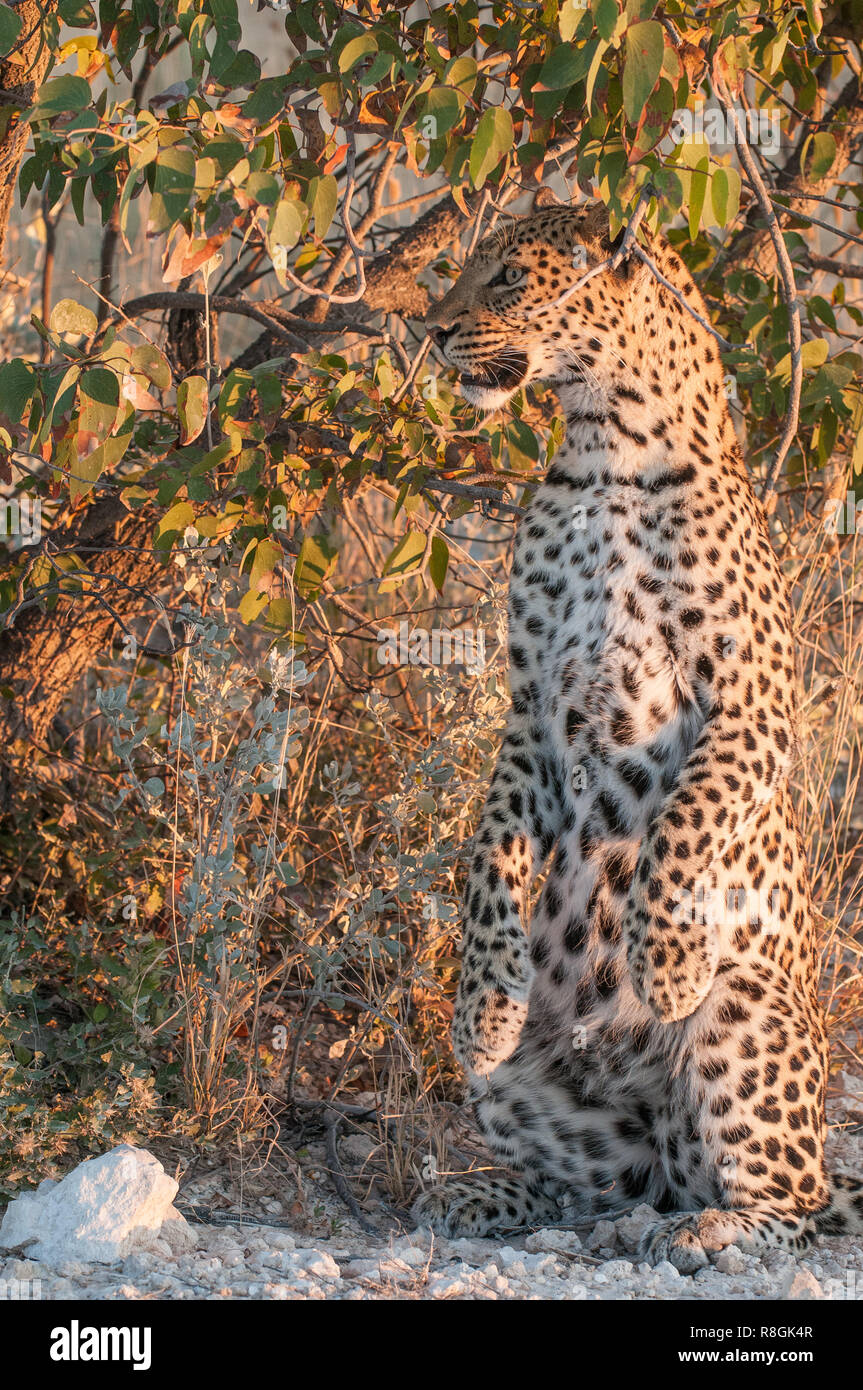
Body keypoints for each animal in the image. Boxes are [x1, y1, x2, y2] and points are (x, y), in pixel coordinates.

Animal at [412, 197, 863, 1273]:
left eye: (505, 277)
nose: (431, 331)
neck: (604, 449)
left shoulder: (749, 703)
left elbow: (681, 823)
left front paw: (663, 963)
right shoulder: (529, 709)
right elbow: (489, 853)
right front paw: (484, 1001)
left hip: (747, 1019)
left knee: (790, 1197)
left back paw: (712, 1228)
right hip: (530, 1101)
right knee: (598, 1183)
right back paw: (487, 1195)